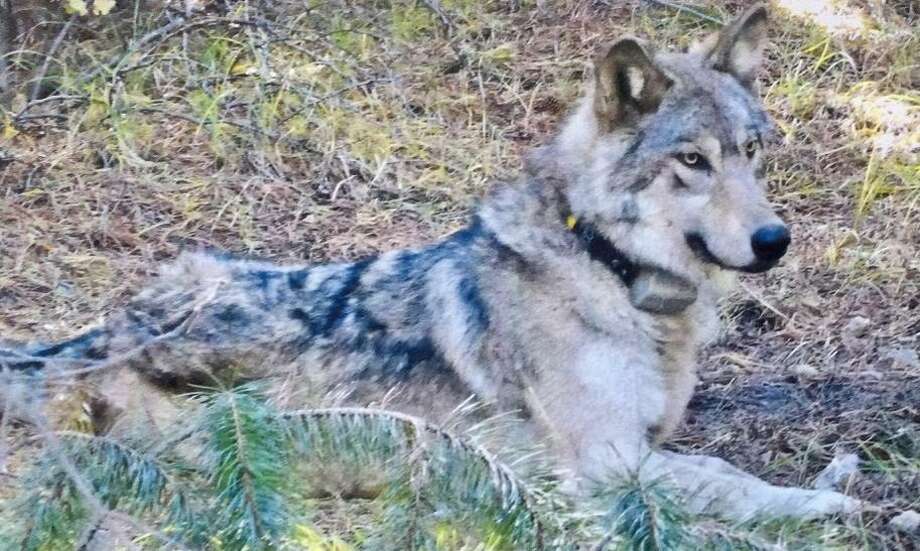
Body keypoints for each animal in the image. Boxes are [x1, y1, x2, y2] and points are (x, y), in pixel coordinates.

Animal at [2, 5, 863, 521]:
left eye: (750, 151)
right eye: (692, 160)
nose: (774, 239)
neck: (607, 272)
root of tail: (80, 345)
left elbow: (714, 459)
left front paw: (829, 477)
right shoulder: (603, 464)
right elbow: (724, 477)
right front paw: (812, 504)